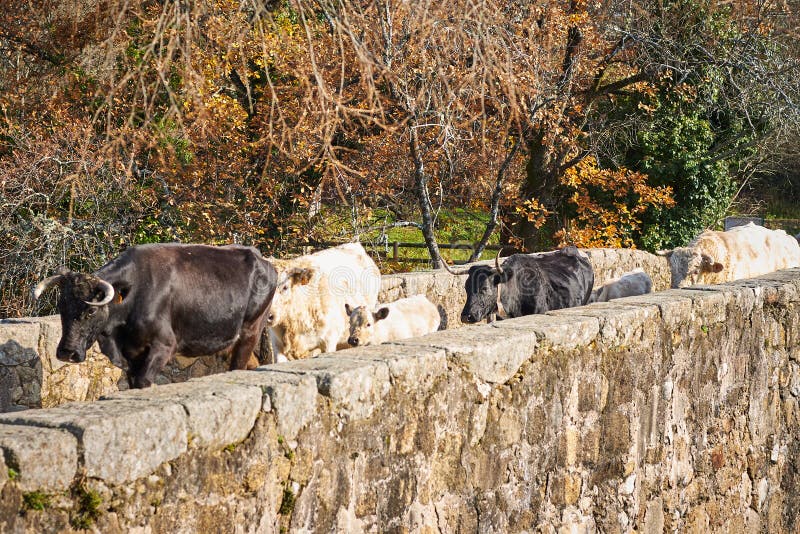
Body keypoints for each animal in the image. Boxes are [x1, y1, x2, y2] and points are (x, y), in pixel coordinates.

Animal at [33, 243, 277, 388]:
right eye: (61, 306)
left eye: (91, 309)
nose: (67, 352)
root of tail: (265, 262)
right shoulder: (131, 355)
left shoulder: (164, 345)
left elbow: (144, 381)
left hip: (250, 331)